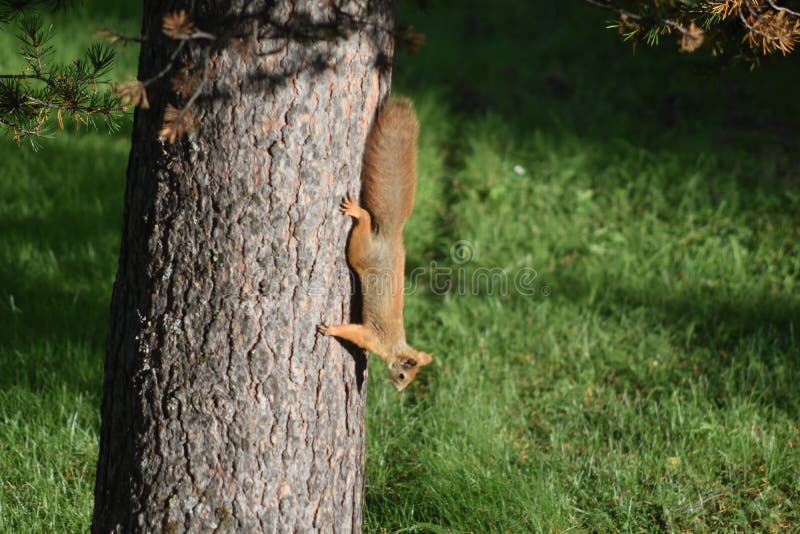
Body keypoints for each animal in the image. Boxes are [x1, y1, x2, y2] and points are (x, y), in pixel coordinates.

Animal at [318, 97, 432, 391]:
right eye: (403, 375)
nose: (399, 391)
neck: (394, 347)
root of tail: (391, 235)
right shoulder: (374, 338)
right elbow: (355, 333)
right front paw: (332, 330)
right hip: (361, 252)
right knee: (366, 222)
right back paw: (358, 212)